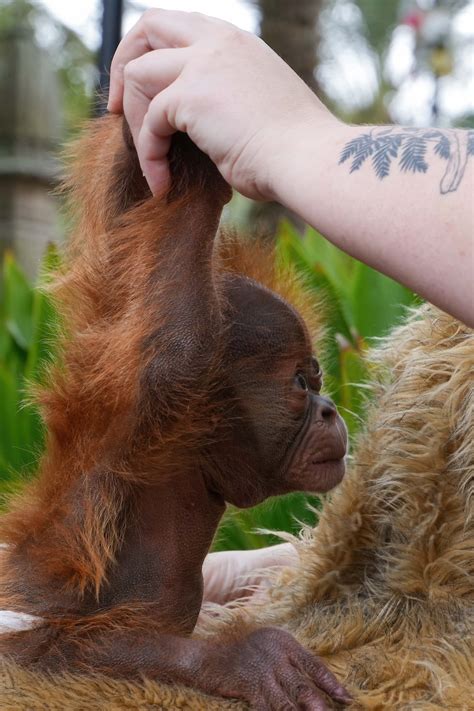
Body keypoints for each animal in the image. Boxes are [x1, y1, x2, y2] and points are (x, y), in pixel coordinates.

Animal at [0, 115, 350, 710]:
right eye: (302, 383)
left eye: (318, 381)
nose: (328, 409)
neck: (184, 478)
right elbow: (58, 654)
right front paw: (246, 659)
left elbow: (127, 255)